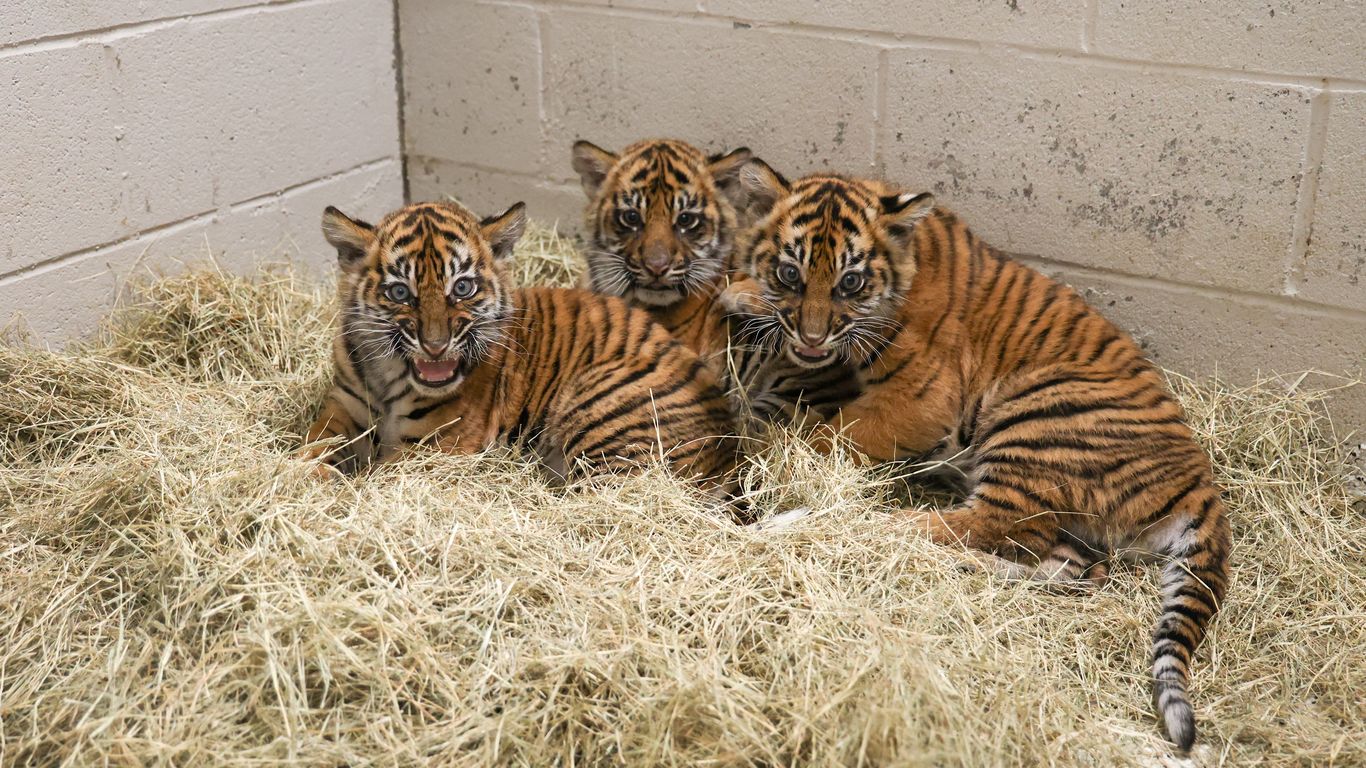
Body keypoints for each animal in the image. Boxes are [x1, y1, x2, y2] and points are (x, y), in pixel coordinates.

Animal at [298, 199, 742, 504]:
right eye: (400, 293)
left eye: (463, 287)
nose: (436, 347)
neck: (390, 375)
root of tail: (731, 452)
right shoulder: (343, 408)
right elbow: (315, 447)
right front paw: (307, 475)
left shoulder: (435, 446)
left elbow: (380, 479)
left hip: (601, 405)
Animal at [725, 163, 1231, 751]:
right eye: (790, 274)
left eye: (850, 282)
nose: (810, 338)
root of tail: (1203, 485)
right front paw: (740, 293)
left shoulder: (919, 400)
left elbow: (830, 437)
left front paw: (774, 451)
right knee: (1068, 564)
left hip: (1035, 414)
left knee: (985, 524)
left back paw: (832, 522)